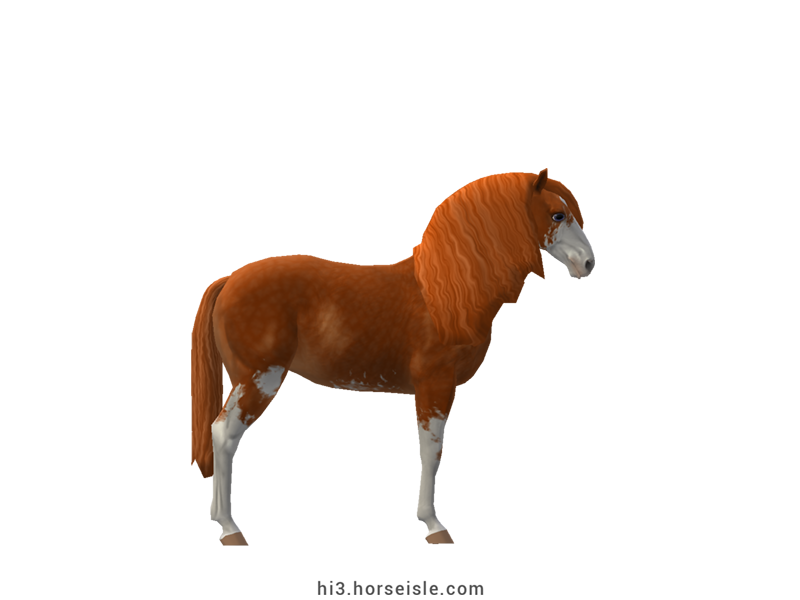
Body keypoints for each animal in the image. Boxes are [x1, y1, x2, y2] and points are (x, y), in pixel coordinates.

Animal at [191, 169, 595, 538]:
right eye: (558, 215)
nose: (588, 263)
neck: (443, 296)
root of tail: (230, 281)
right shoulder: (435, 382)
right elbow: (431, 447)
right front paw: (430, 523)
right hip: (258, 378)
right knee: (223, 435)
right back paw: (228, 527)